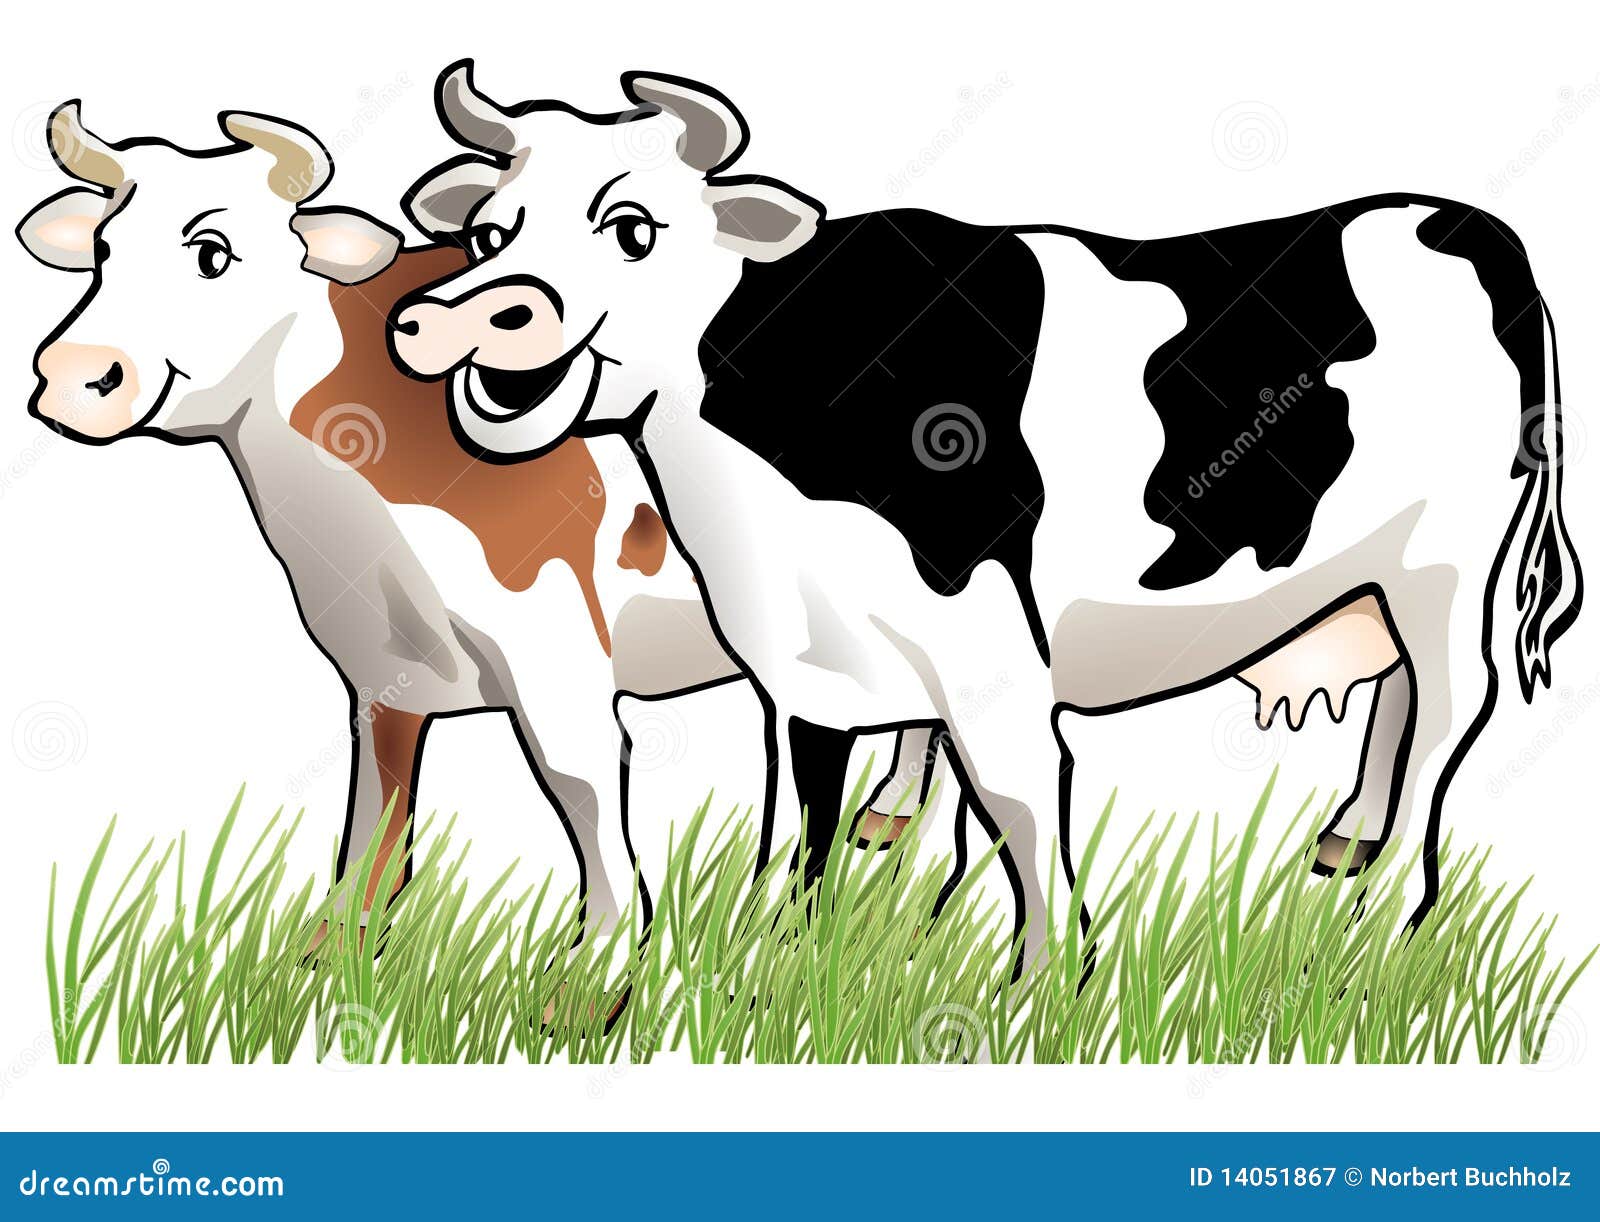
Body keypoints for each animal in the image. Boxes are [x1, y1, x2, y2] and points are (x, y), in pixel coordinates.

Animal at [15, 100, 936, 935]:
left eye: (213, 253)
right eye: (101, 251)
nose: (75, 375)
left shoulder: (558, 656)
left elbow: (579, 786)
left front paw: (600, 969)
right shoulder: (381, 665)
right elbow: (378, 804)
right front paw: (335, 943)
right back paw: (890, 814)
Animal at [388, 62, 1581, 966]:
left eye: (632, 228)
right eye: (490, 234)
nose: (455, 321)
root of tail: (1469, 224)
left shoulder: (988, 648)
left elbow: (1014, 797)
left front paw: (1045, 980)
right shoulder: (807, 650)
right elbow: (801, 800)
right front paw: (786, 939)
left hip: (1448, 561)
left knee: (1448, 703)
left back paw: (1391, 904)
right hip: (1374, 570)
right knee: (1397, 692)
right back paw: (1351, 839)